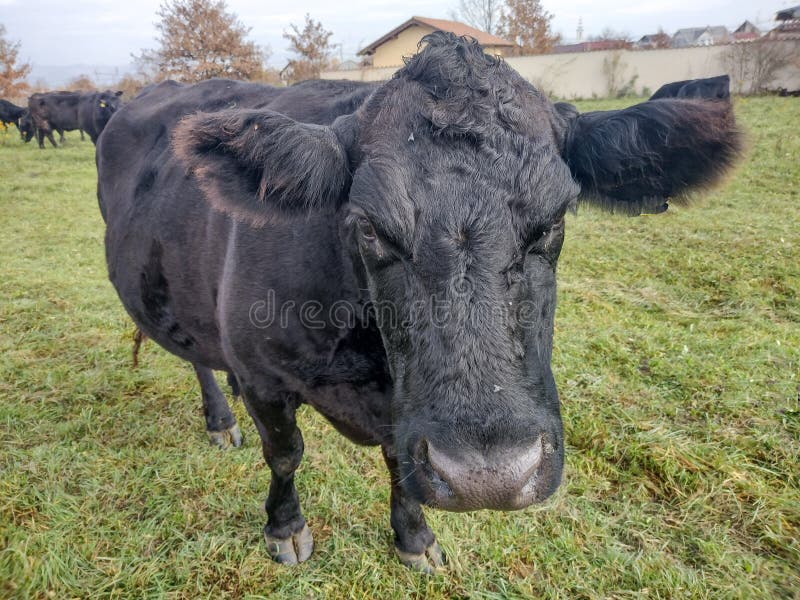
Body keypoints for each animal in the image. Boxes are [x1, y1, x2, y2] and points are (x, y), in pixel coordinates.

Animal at [96, 33, 741, 572]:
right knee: (196, 355)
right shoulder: (264, 375)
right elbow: (284, 454)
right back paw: (220, 418)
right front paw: (285, 528)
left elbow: (398, 465)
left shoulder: (400, 414)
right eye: (370, 227)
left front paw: (413, 538)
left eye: (555, 220)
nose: (489, 476)